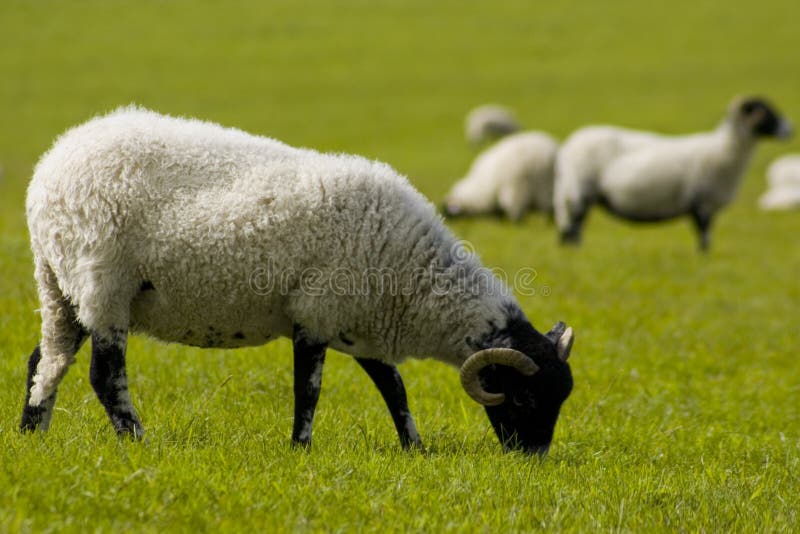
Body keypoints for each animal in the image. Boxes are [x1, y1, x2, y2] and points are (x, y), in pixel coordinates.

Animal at [19, 106, 575, 455]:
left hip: (58, 283)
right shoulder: (315, 315)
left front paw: (414, 446)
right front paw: (300, 447)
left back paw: (31, 436)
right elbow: (309, 390)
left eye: (560, 397)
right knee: (103, 375)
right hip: (102, 285)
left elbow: (393, 389)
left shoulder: (357, 326)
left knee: (46, 360)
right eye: (523, 399)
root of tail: (52, 165)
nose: (533, 458)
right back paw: (138, 441)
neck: (411, 278)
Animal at [555, 96, 792, 250]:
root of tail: (571, 144)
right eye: (764, 112)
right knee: (574, 227)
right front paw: (704, 260)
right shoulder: (702, 203)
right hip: (581, 190)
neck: (722, 150)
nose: (790, 129)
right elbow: (704, 239)